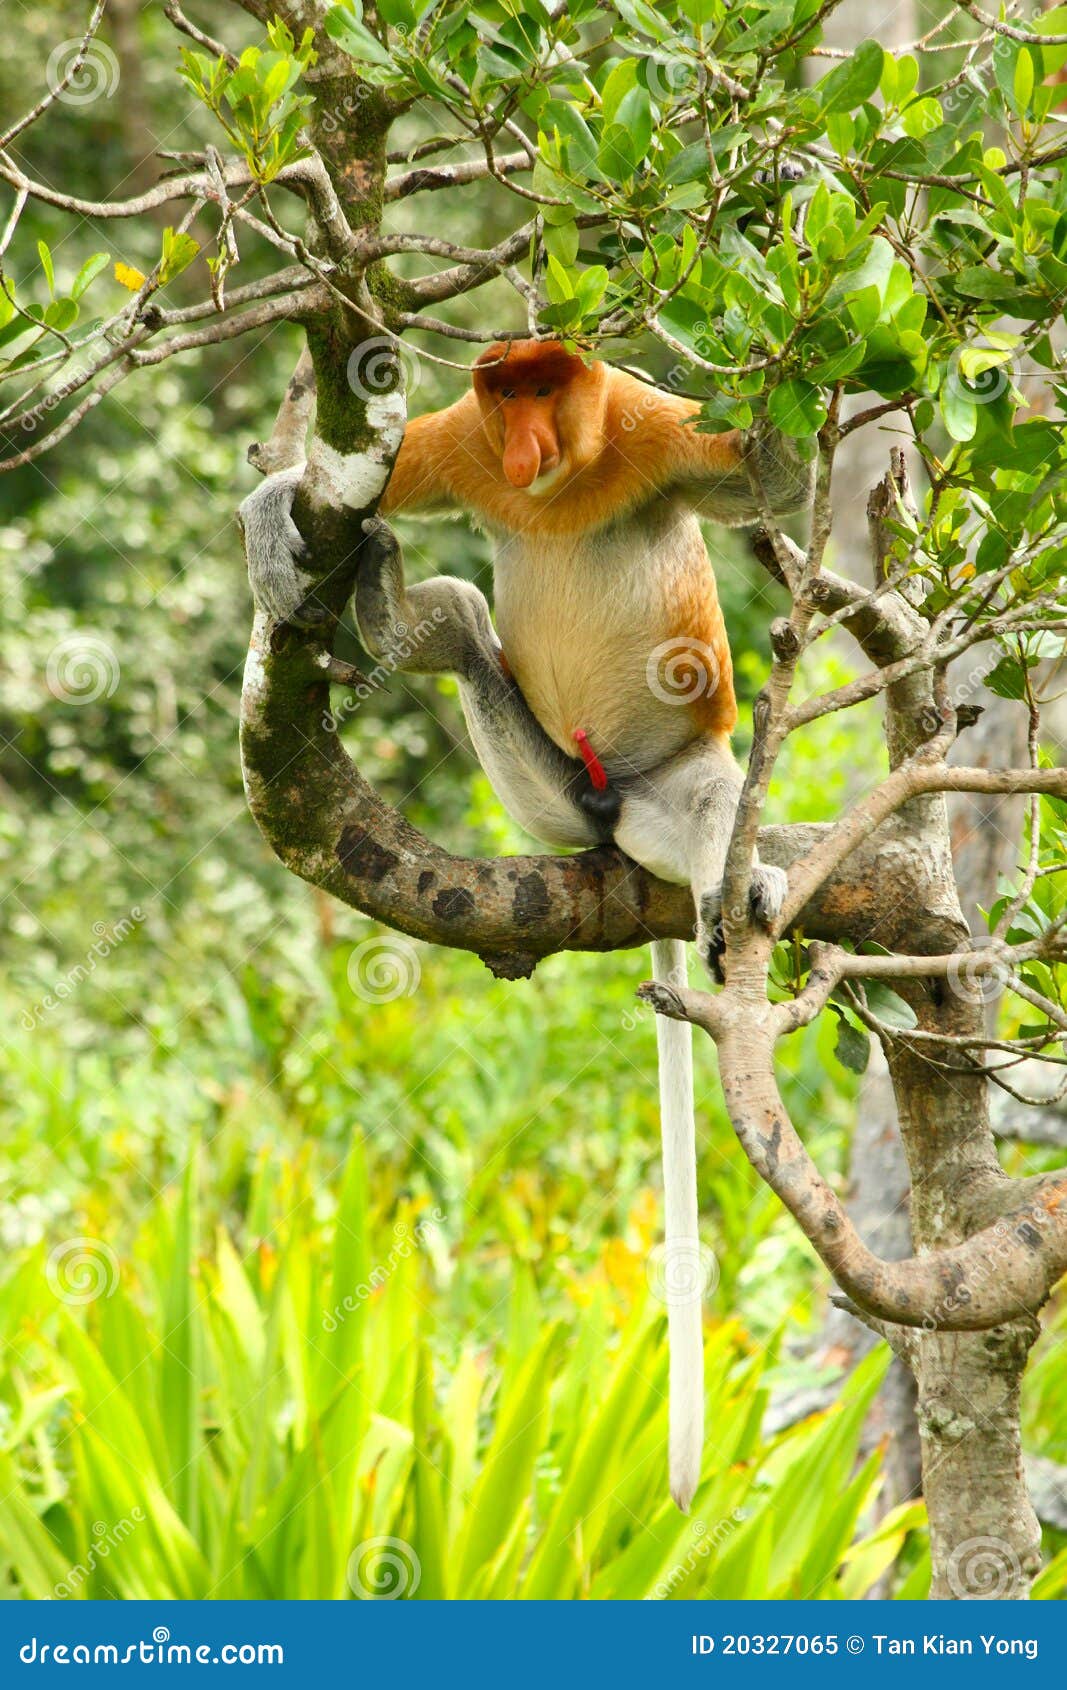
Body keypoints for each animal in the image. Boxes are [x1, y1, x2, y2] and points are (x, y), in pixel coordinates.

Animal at [239, 338, 813, 1512]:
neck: (557, 482)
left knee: (708, 800)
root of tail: (608, 810)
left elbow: (766, 485)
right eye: (503, 395)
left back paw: (736, 895)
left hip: (671, 776)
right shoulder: (460, 444)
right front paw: (273, 516)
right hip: (542, 789)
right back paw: (383, 603)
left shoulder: (652, 428)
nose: (523, 443)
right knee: (462, 626)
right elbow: (362, 479)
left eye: (548, 389)